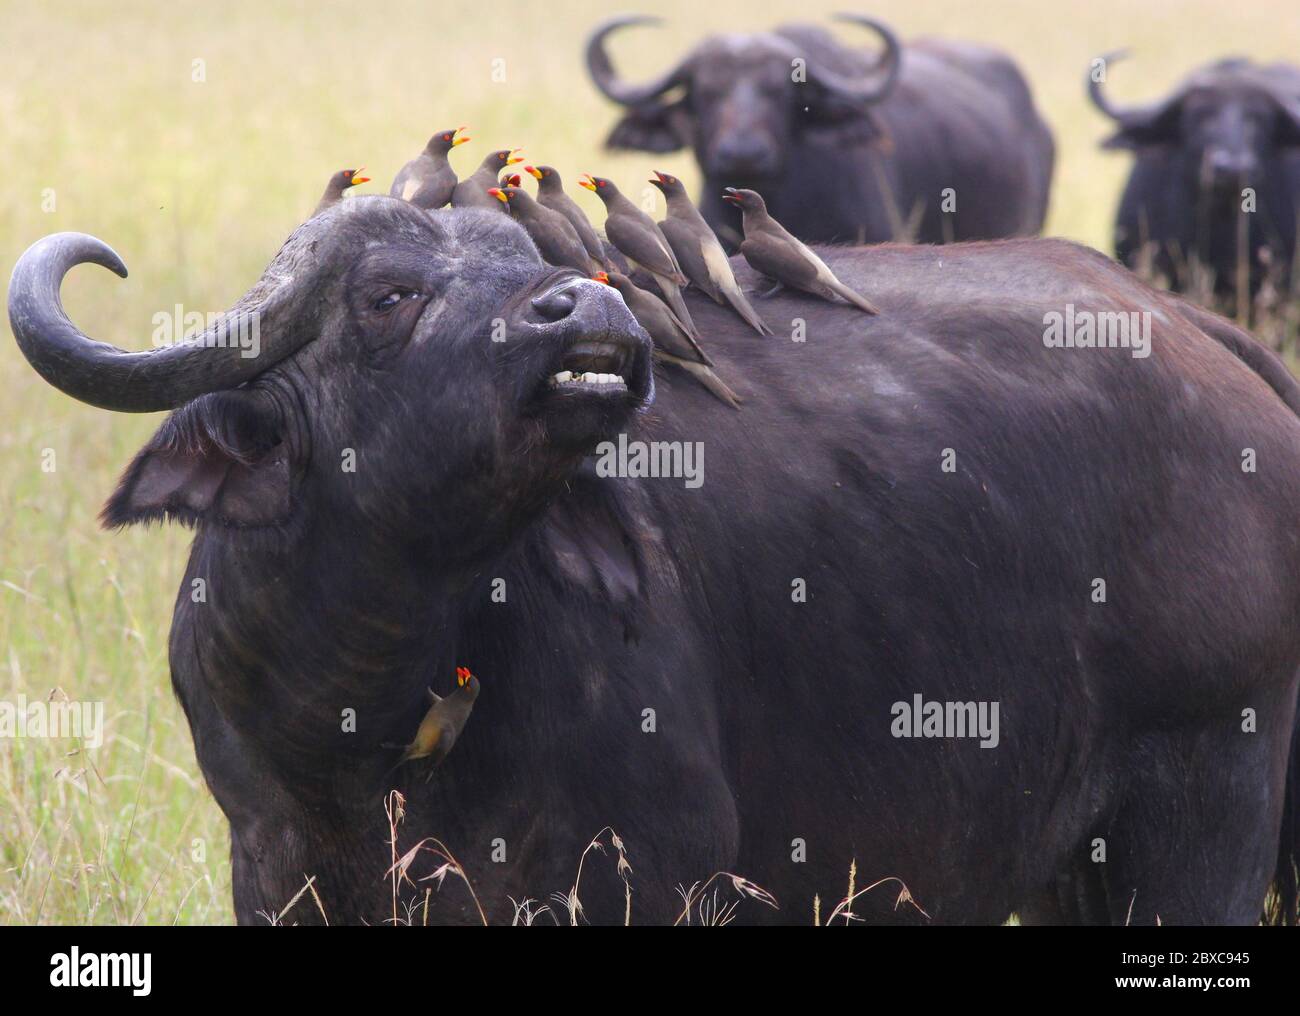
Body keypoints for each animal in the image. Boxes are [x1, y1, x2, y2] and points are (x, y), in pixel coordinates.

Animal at [10, 200, 1300, 925]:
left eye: (525, 260)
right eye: (388, 293)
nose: (589, 312)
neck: (364, 704)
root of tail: (1206, 345)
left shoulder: (639, 875)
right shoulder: (275, 864)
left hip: (1203, 808)